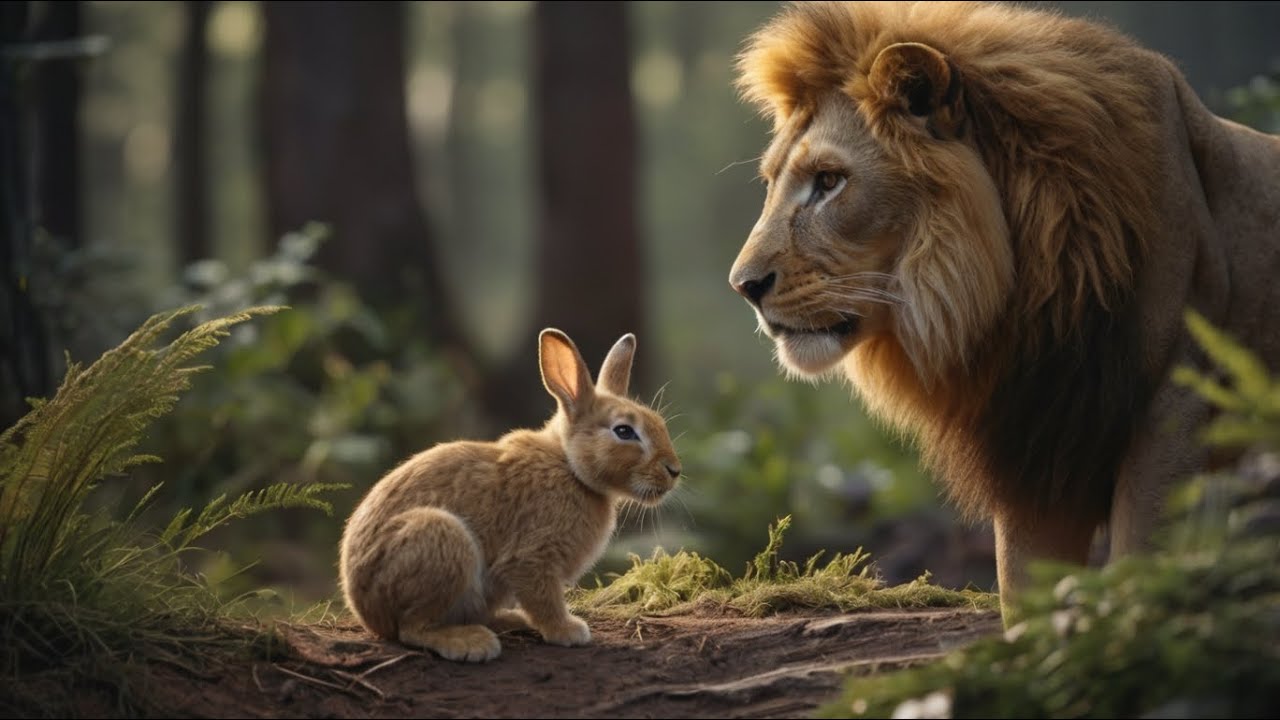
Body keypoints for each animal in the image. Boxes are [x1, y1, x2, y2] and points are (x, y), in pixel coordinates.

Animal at [338, 328, 682, 663]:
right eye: (624, 431)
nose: (674, 470)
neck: (570, 467)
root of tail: (364, 607)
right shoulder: (532, 558)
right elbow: (544, 599)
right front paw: (568, 631)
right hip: (440, 540)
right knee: (413, 628)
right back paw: (471, 643)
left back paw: (509, 621)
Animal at [727, 0, 1280, 622]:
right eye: (772, 183)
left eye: (829, 181)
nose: (744, 286)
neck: (1025, 297)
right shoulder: (1031, 441)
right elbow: (1023, 591)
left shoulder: (1170, 408)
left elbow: (1140, 565)